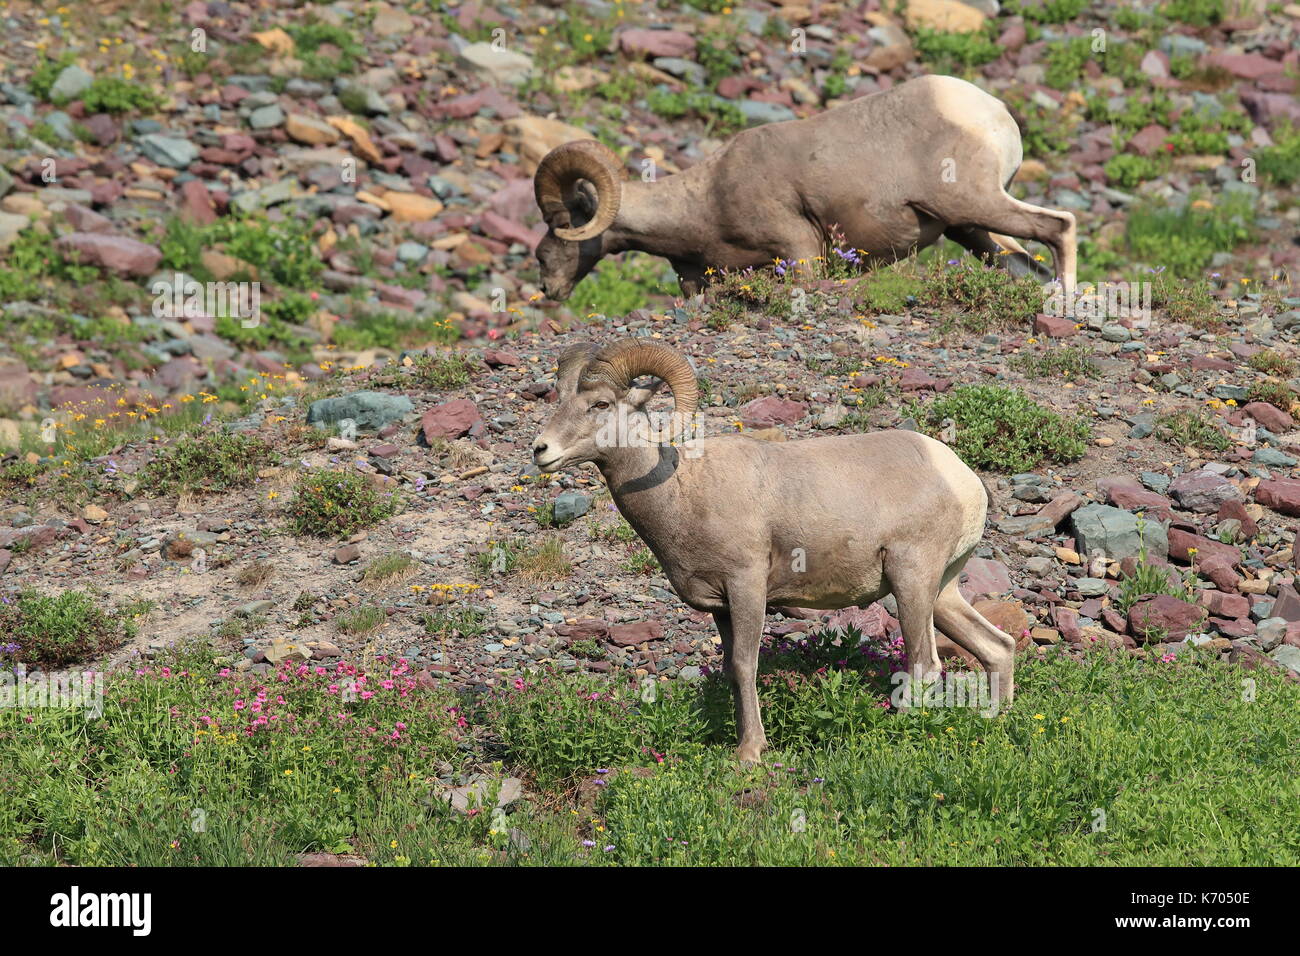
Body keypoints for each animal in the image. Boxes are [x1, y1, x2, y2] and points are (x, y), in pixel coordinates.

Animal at [531, 338, 1016, 763]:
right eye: (561, 399)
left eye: (600, 405)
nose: (540, 449)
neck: (683, 489)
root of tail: (962, 479)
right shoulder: (721, 607)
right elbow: (731, 670)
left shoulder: (747, 588)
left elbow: (746, 665)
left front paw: (750, 753)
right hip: (942, 592)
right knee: (998, 647)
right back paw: (999, 720)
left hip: (910, 583)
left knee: (925, 663)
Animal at [532, 74, 1077, 305]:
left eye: (554, 235)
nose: (548, 290)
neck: (704, 202)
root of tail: (993, 112)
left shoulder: (798, 252)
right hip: (969, 229)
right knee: (1023, 265)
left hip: (974, 203)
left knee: (1059, 226)